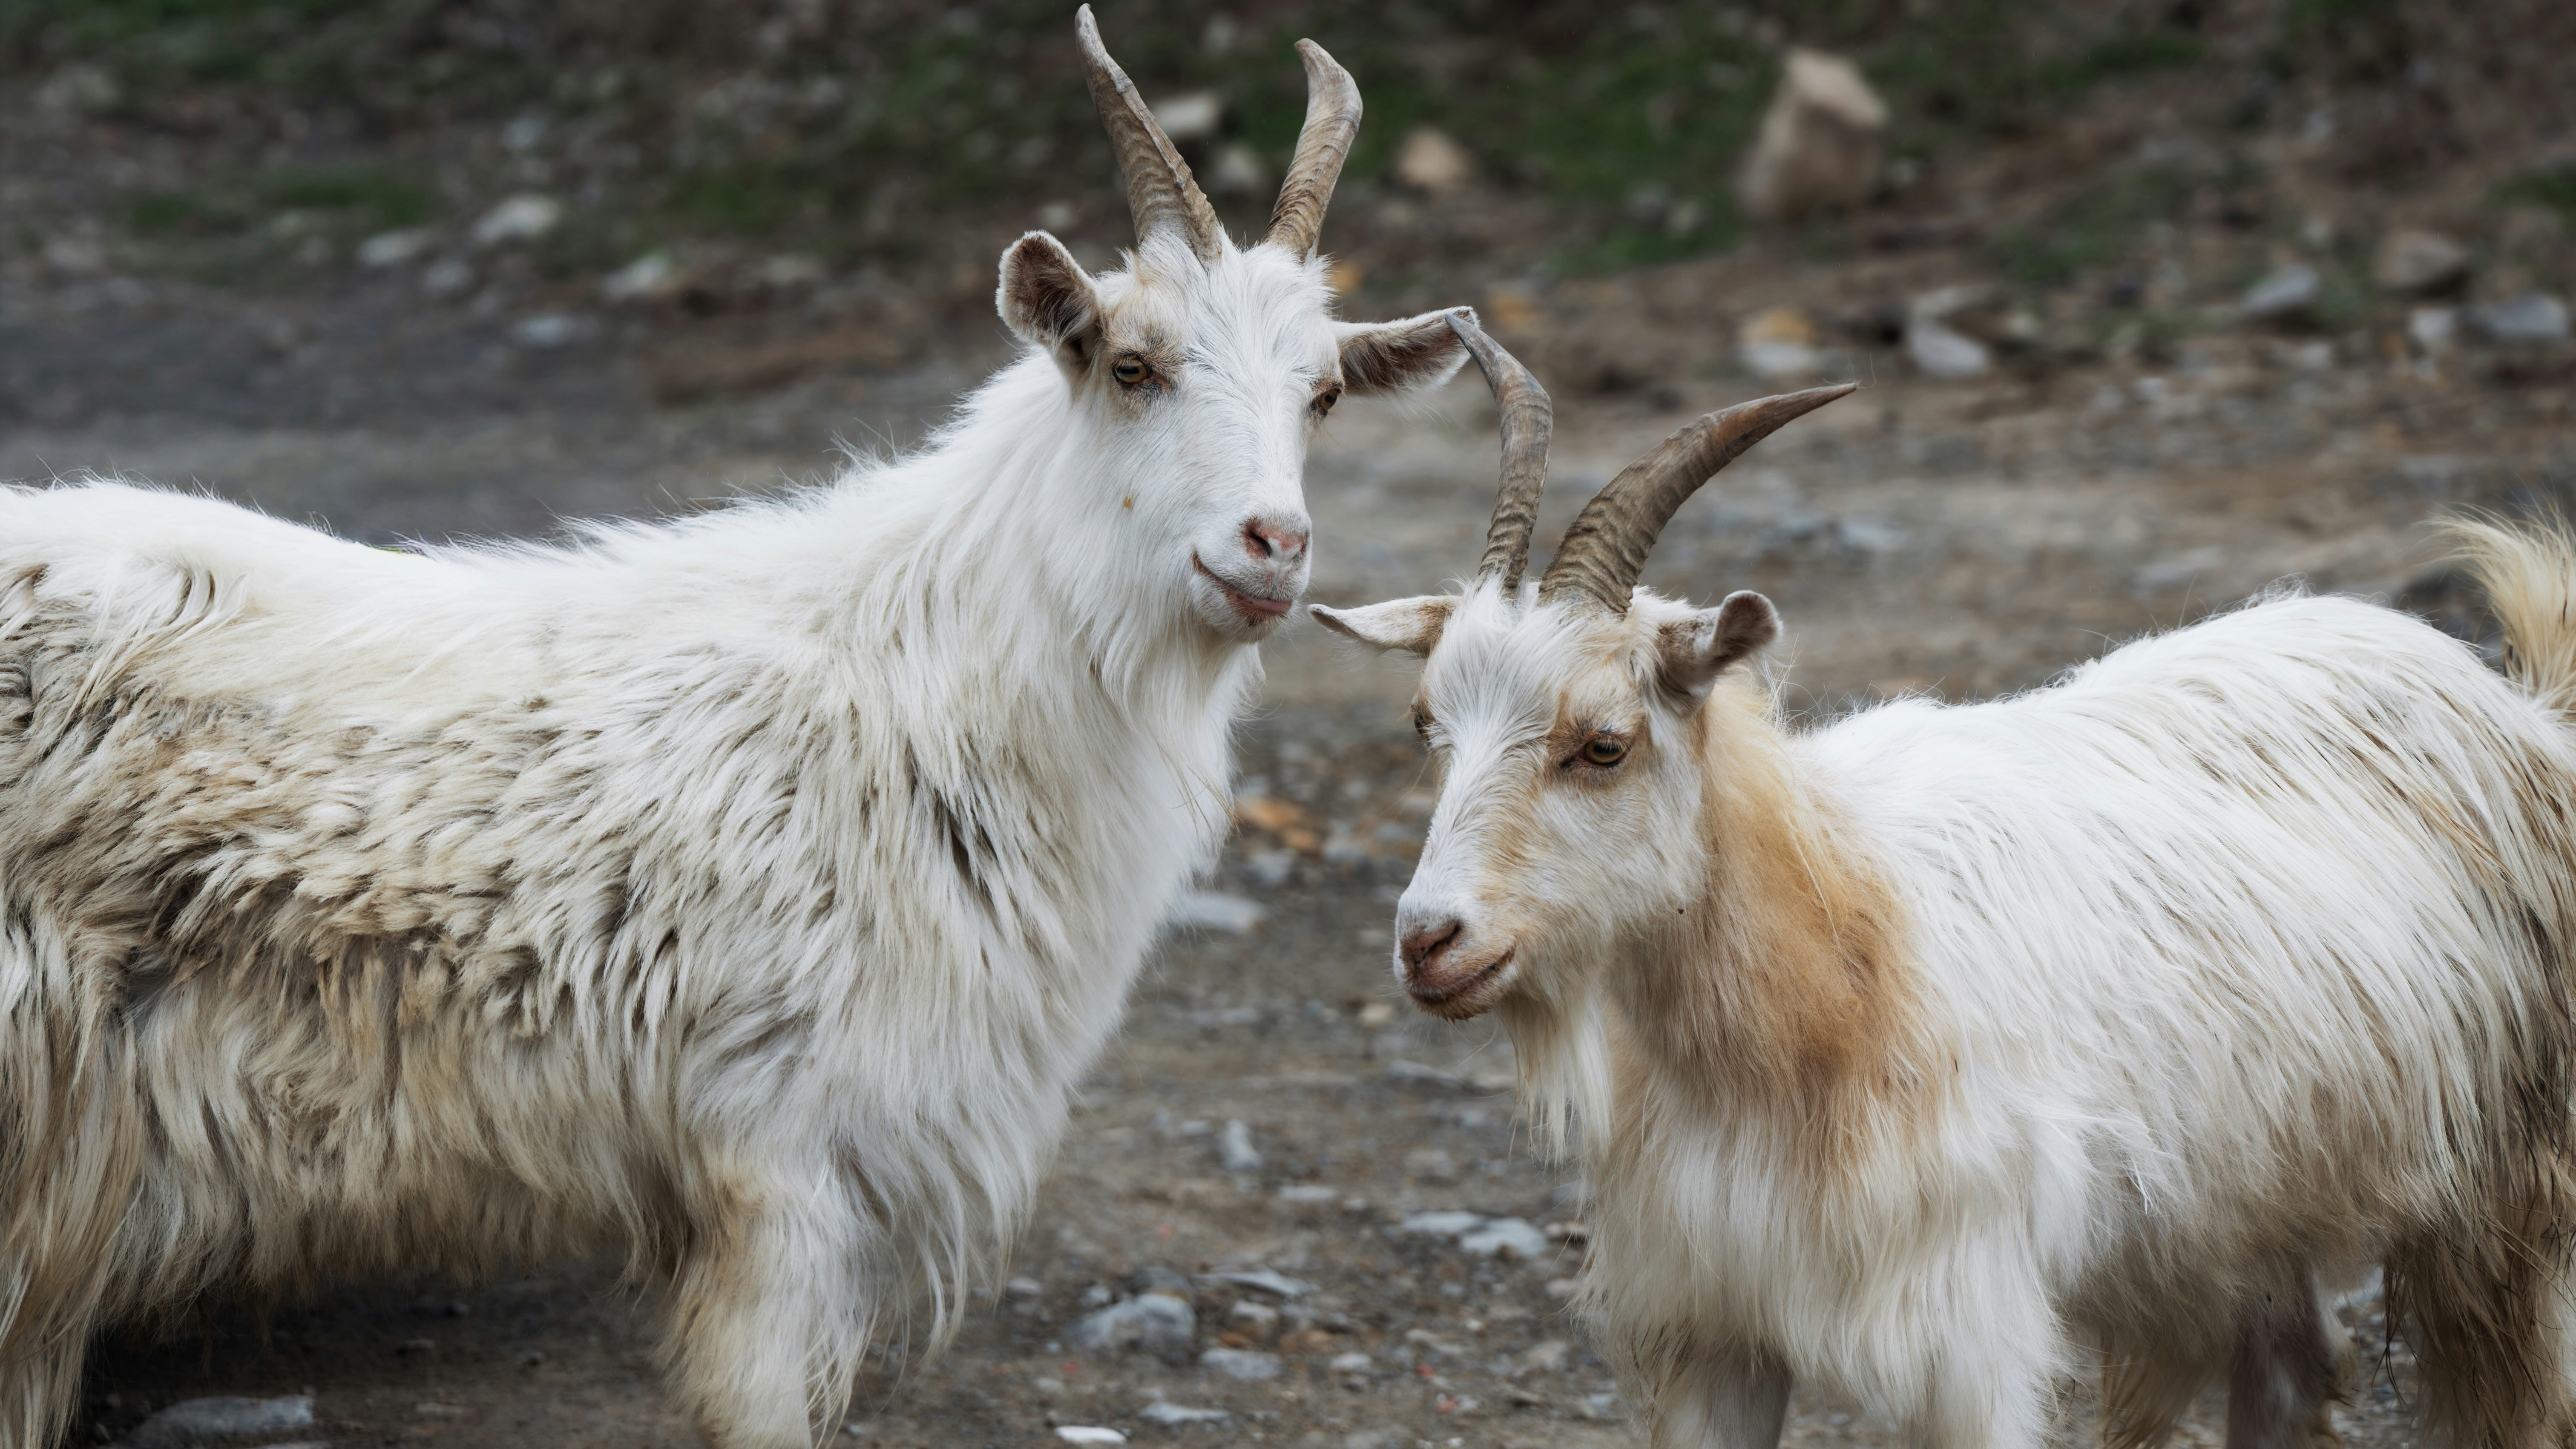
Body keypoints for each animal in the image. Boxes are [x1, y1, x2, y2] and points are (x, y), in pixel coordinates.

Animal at [1316, 318, 2576, 1449]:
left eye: (1605, 744)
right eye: (1430, 728)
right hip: (2251, 1213)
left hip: (2508, 1197)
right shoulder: (1715, 1324)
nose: (1428, 940)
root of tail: (2512, 702)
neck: (1830, 961)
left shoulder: (1967, 1331)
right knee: (2287, 1373)